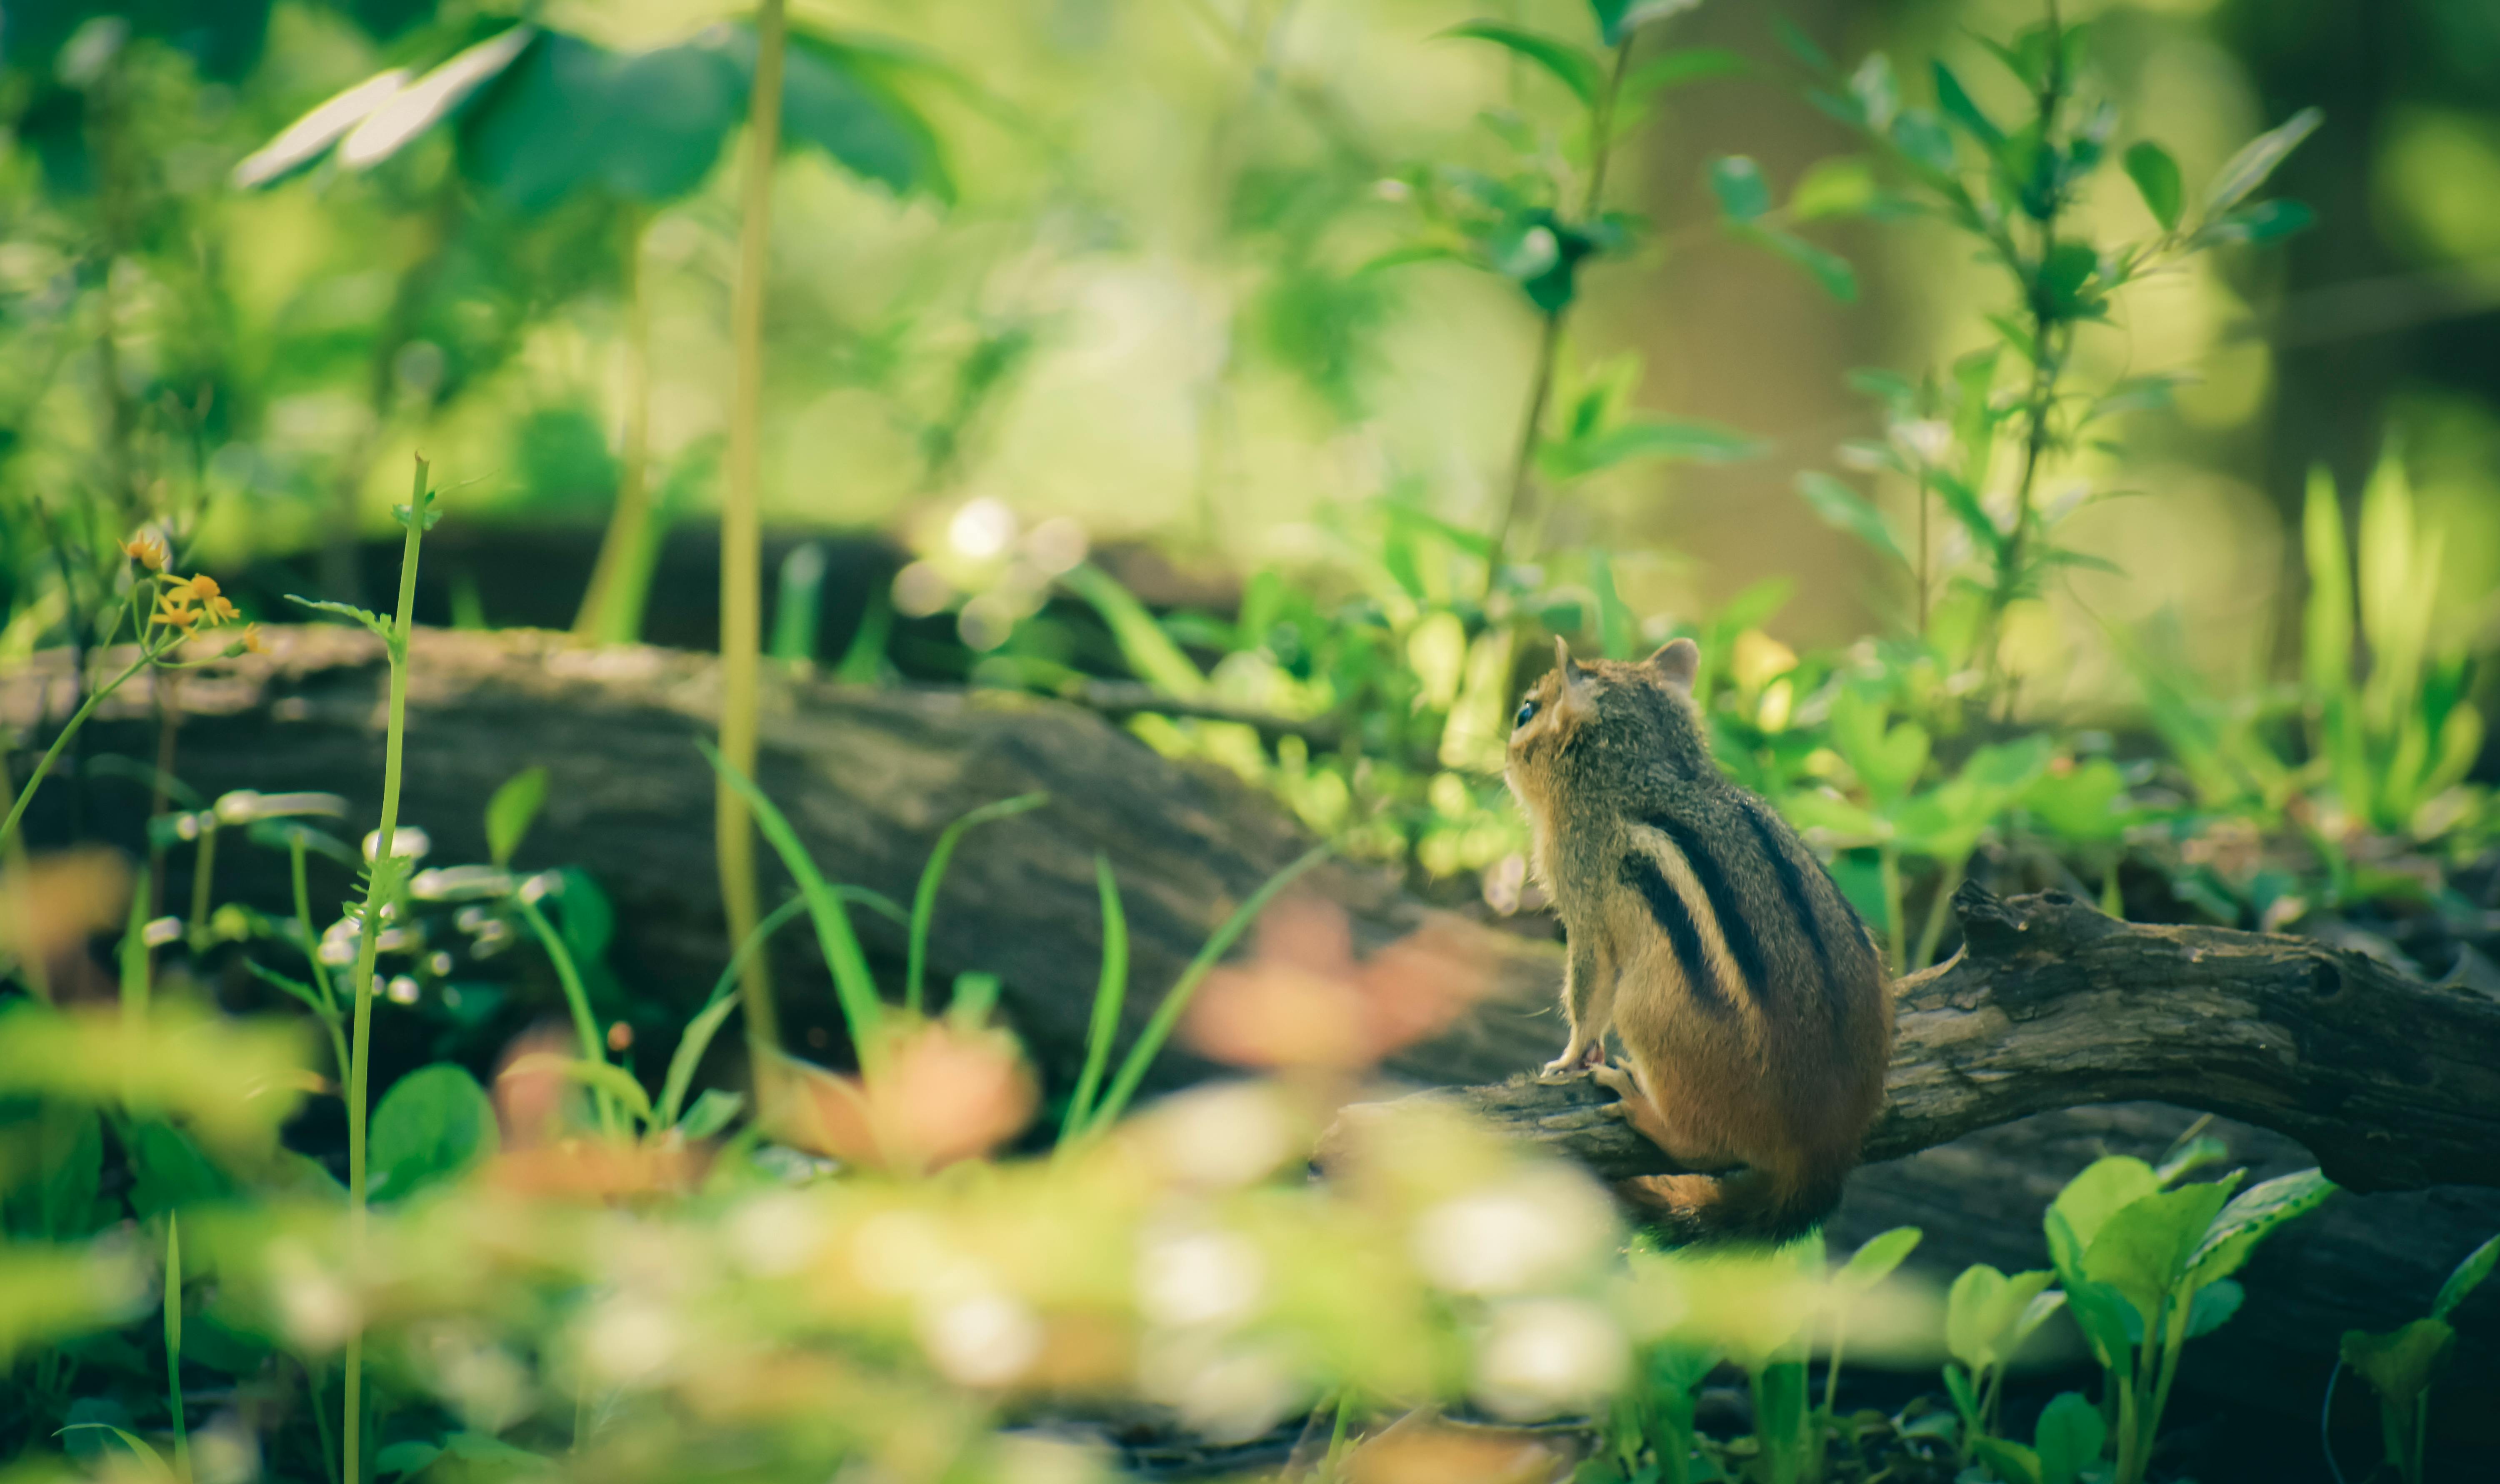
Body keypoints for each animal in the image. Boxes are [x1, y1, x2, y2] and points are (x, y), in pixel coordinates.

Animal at [1504, 636, 1892, 1243]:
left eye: (1526, 711)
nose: (1502, 754)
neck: (1647, 769)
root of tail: (1821, 1150)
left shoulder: (1582, 901)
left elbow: (1587, 992)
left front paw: (1568, 1059)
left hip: (1645, 1012)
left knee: (1703, 1147)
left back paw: (1643, 1109)